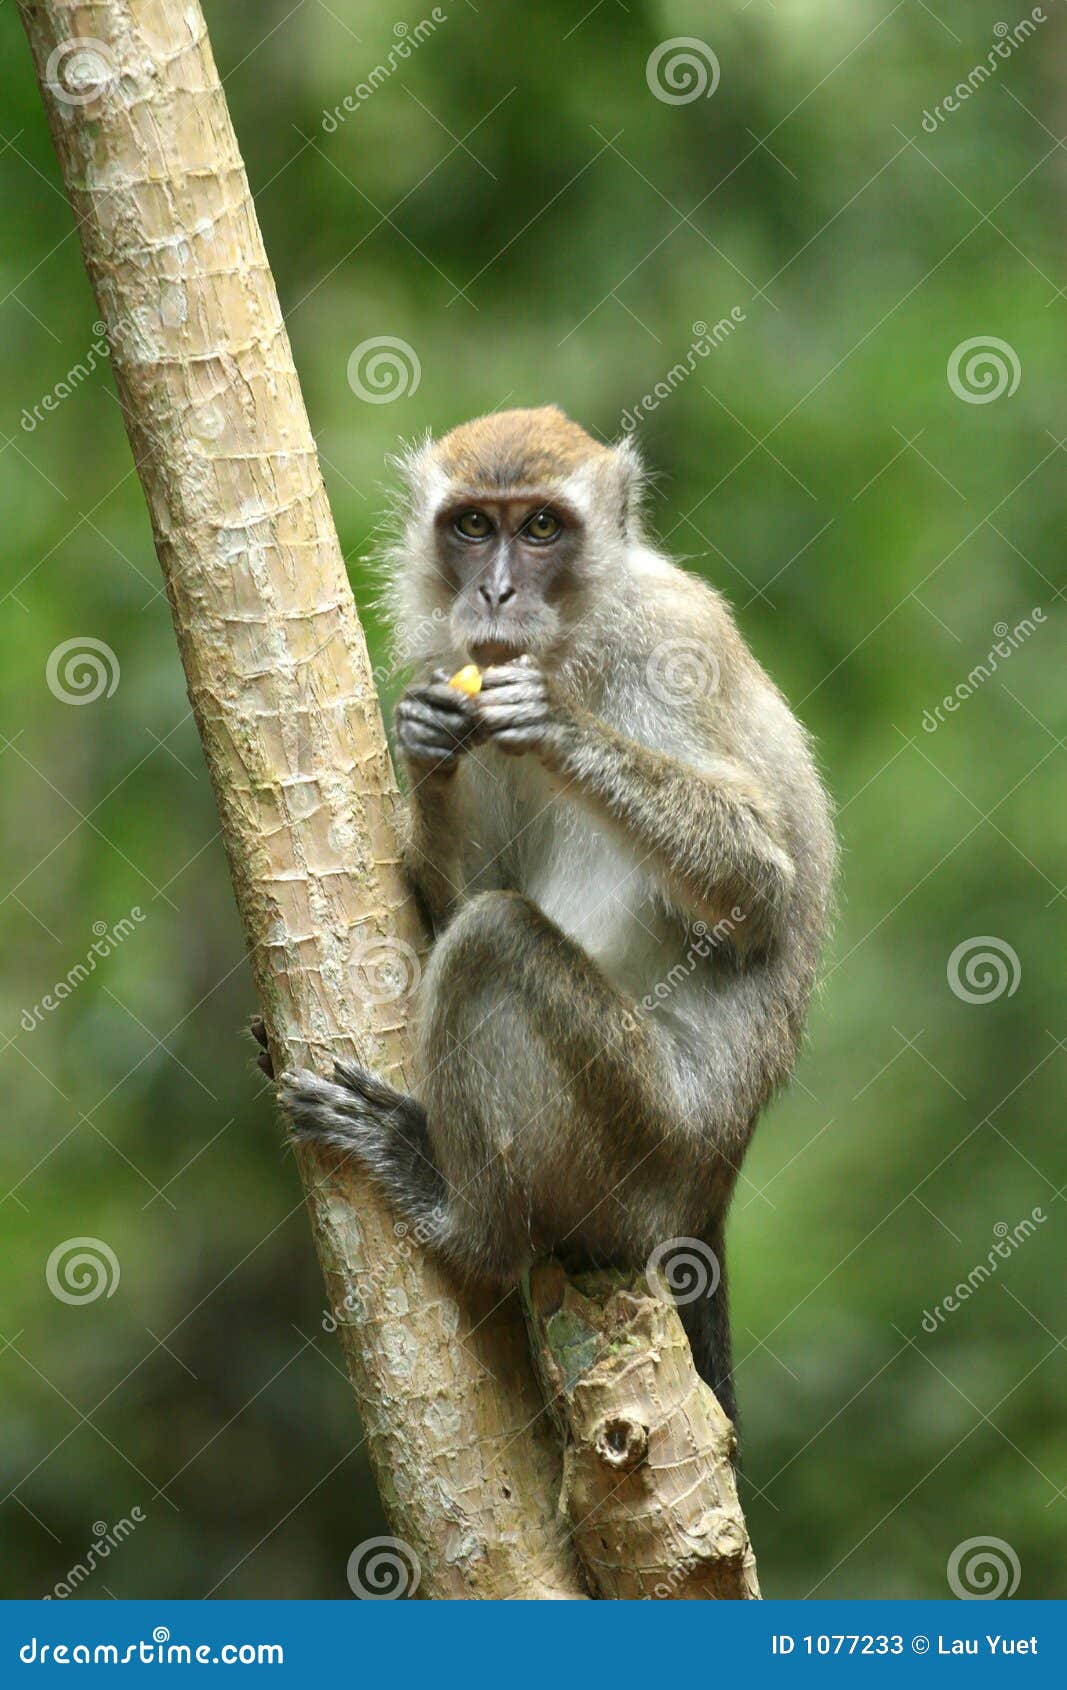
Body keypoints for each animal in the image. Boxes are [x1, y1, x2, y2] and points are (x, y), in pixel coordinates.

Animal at [275, 405, 836, 1428]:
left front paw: (561, 727)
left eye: (540, 528)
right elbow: (452, 885)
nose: (495, 592)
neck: (576, 640)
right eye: (471, 526)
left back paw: (463, 1220)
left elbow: (759, 890)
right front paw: (426, 749)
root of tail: (707, 1196)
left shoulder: (674, 644)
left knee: (493, 944)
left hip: (635, 1143)